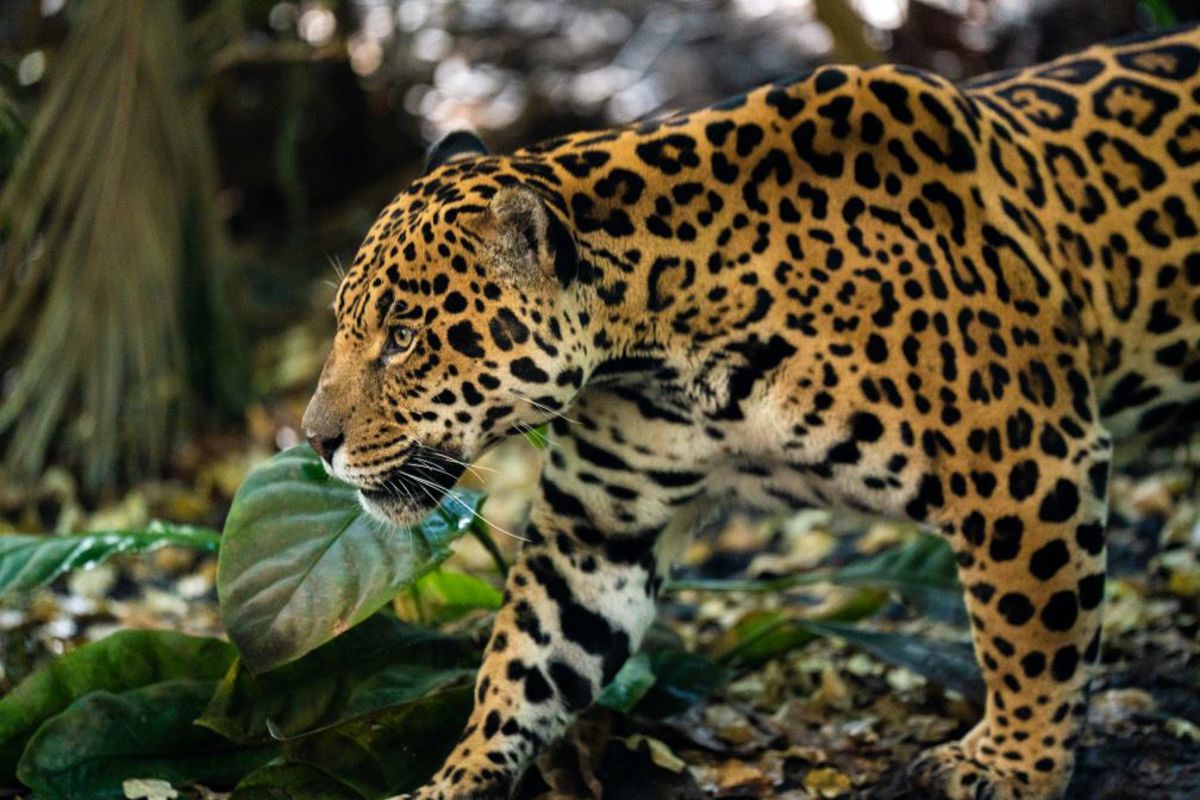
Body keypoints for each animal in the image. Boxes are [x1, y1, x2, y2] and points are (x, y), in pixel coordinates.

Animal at [301, 23, 1200, 800]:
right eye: (344, 322)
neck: (661, 346)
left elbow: (1031, 636)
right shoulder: (596, 532)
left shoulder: (1022, 467)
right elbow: (527, 658)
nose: (314, 442)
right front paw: (453, 780)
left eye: (405, 338)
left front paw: (1015, 766)